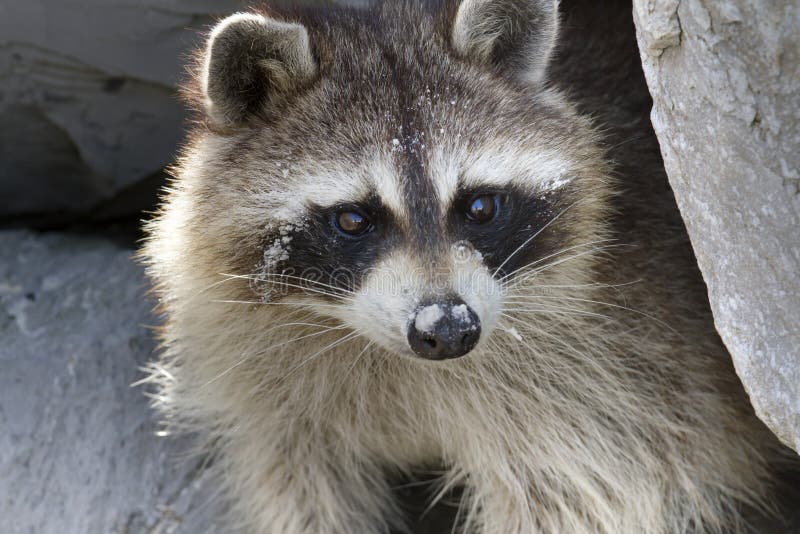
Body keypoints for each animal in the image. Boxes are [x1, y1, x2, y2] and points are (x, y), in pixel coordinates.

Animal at [140, 0, 789, 532]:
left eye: (479, 206)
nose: (448, 327)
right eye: (352, 219)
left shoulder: (623, 378)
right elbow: (302, 496)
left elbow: (592, 494)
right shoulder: (276, 414)